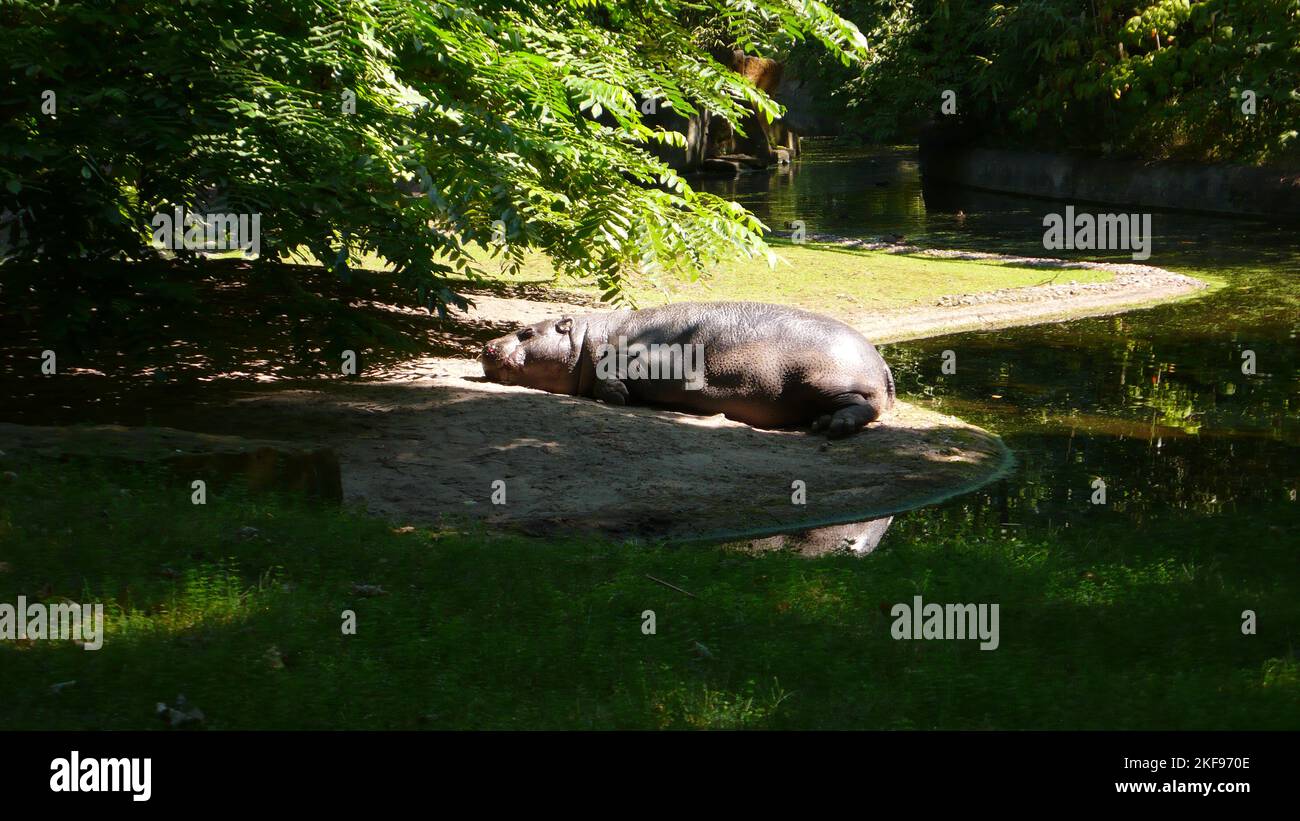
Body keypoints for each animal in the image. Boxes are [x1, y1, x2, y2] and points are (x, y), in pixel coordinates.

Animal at [480, 301, 895, 437]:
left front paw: (618, 395)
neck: (589, 339)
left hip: (823, 380)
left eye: (526, 332)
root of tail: (882, 362)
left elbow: (610, 373)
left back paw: (830, 426)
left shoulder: (650, 356)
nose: (487, 346)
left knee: (863, 406)